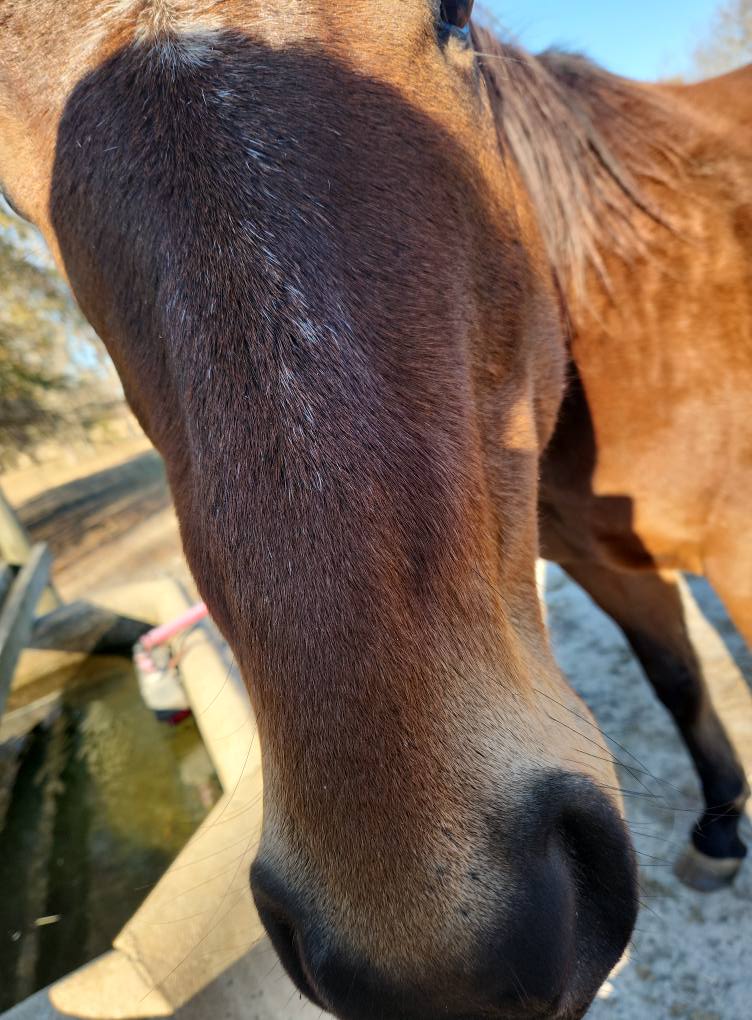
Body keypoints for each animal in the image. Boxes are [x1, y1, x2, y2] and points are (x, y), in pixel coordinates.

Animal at [0, 3, 749, 1018]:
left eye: (456, 16)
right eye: (11, 194)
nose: (450, 962)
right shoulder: (600, 561)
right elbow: (678, 679)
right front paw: (720, 831)